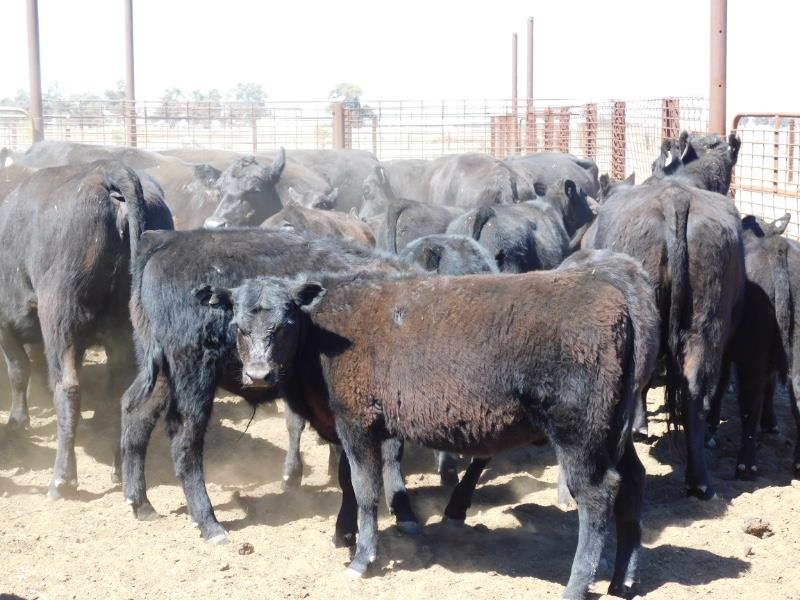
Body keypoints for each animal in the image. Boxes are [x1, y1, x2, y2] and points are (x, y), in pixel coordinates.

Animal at [0, 160, 172, 497]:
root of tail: (107, 173)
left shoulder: (5, 323)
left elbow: (18, 371)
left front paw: (17, 421)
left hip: (61, 316)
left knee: (67, 387)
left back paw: (62, 478)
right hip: (123, 329)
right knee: (120, 392)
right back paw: (120, 468)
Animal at [119, 229, 423, 544]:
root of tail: (163, 240)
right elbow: (389, 453)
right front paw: (404, 512)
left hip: (160, 373)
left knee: (135, 411)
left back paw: (140, 503)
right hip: (192, 375)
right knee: (184, 438)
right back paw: (209, 524)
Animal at [194, 248, 659, 599]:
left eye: (285, 323)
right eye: (239, 325)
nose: (258, 374)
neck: (323, 330)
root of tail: (609, 285)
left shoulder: (356, 421)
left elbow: (365, 489)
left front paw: (362, 559)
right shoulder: (350, 425)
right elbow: (346, 481)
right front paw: (344, 535)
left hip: (578, 432)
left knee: (597, 496)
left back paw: (576, 586)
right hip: (611, 433)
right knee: (633, 481)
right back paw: (623, 579)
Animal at [706, 213, 800, 477]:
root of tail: (779, 248)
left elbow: (720, 385)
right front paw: (770, 423)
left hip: (752, 354)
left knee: (749, 397)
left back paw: (745, 464)